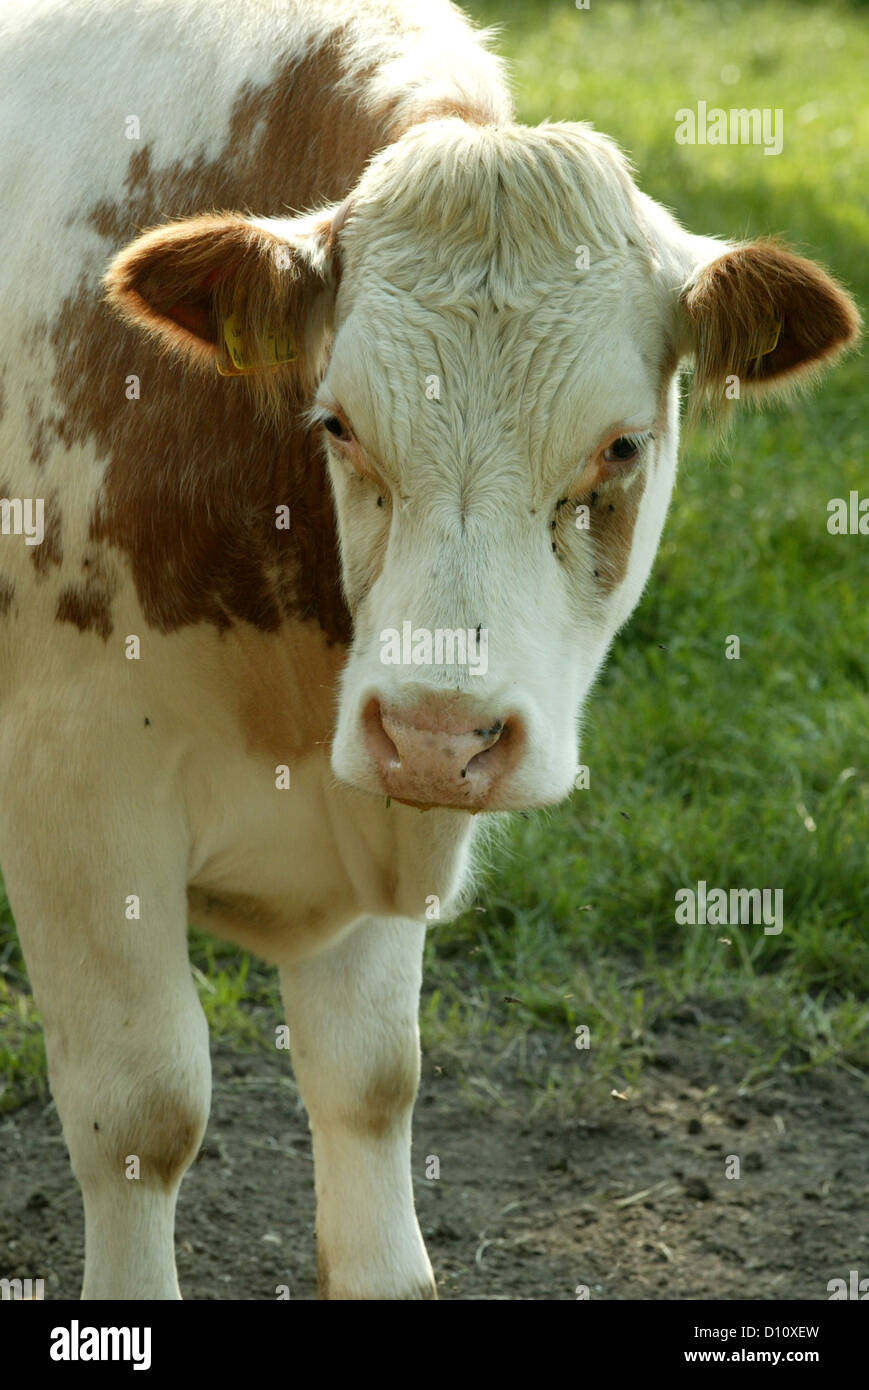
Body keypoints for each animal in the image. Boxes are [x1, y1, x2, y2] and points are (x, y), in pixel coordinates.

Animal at [0, 0, 858, 1300]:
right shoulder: (75, 781)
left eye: (619, 445)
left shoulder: (373, 802)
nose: (439, 735)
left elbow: (371, 1081)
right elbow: (145, 1109)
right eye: (337, 421)